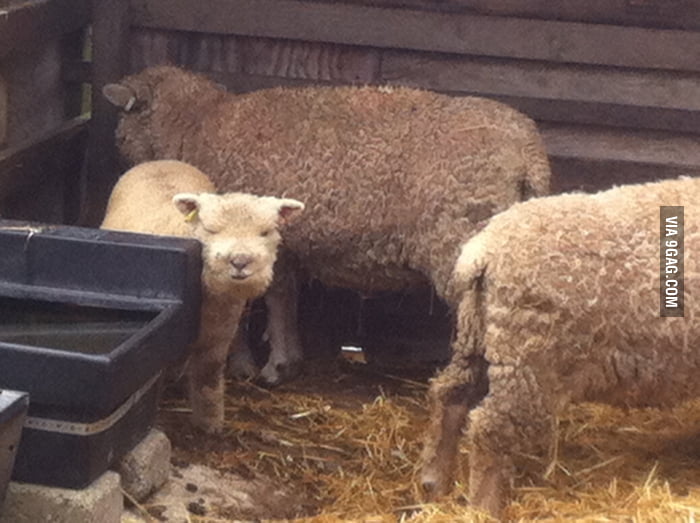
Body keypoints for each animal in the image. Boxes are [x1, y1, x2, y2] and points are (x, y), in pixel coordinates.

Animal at [101, 160, 304, 432]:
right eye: (210, 229)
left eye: (265, 232)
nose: (240, 261)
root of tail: (162, 162)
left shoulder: (219, 334)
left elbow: (208, 376)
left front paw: (210, 424)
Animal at [102, 65, 551, 385]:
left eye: (125, 116)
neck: (197, 127)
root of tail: (529, 153)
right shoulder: (282, 246)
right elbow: (282, 298)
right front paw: (284, 361)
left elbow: (256, 303)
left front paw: (256, 364)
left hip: (459, 243)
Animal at [419, 176, 700, 517]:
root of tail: (483, 250)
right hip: (528, 363)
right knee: (489, 430)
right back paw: (485, 509)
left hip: (479, 337)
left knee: (450, 395)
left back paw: (434, 481)